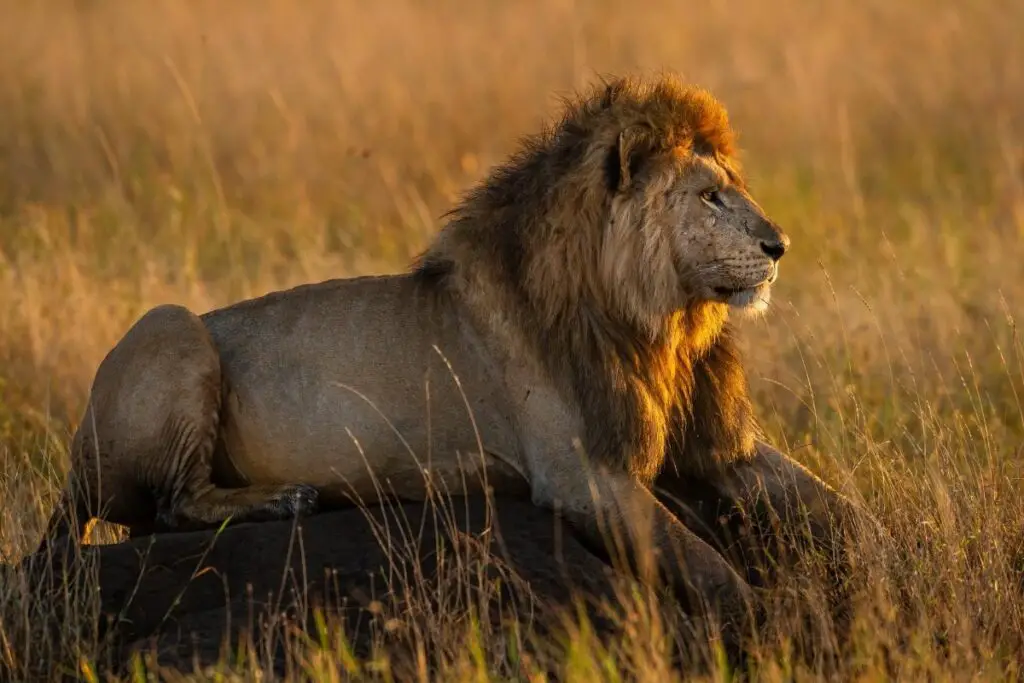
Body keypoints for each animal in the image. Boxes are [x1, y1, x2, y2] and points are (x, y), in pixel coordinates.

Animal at [35, 75, 863, 642]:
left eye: (735, 187)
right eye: (708, 197)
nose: (780, 245)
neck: (664, 324)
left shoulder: (714, 444)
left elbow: (838, 506)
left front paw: (881, 560)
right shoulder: (582, 474)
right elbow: (704, 563)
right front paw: (772, 623)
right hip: (170, 323)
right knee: (171, 505)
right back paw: (287, 498)